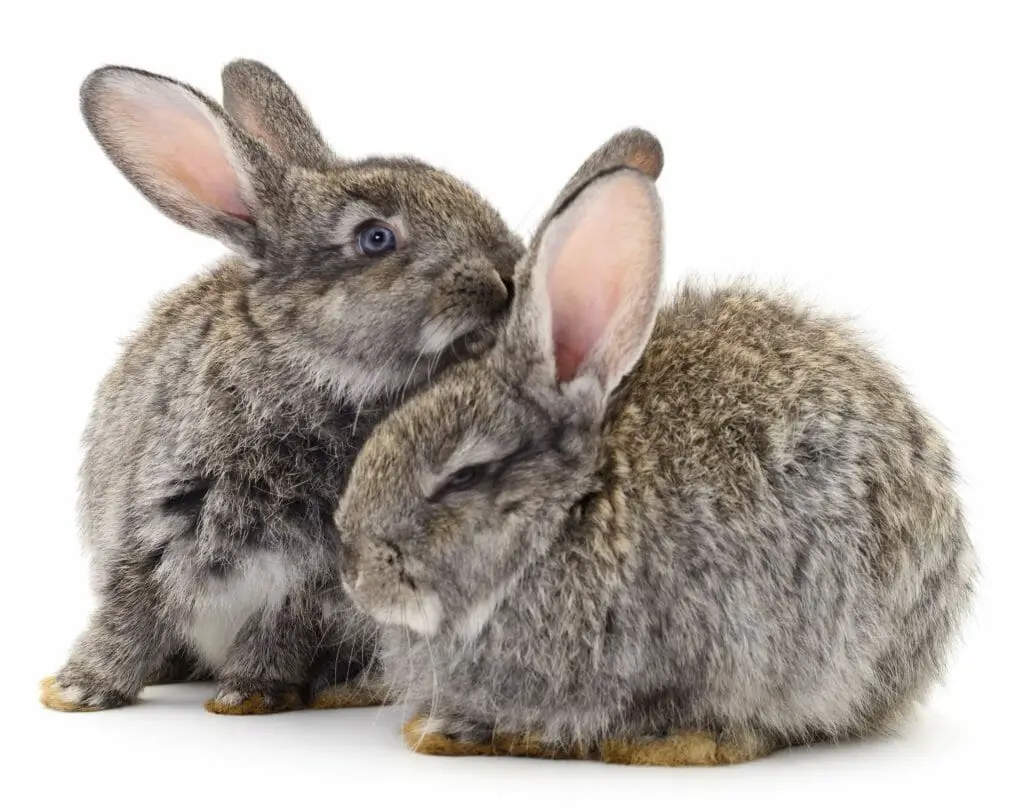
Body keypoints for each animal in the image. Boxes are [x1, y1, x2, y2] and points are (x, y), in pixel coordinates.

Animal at [39, 59, 524, 715]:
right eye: (375, 237)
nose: (508, 276)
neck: (319, 375)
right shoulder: (152, 534)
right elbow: (130, 615)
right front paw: (78, 690)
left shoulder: (314, 582)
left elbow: (279, 631)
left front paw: (248, 695)